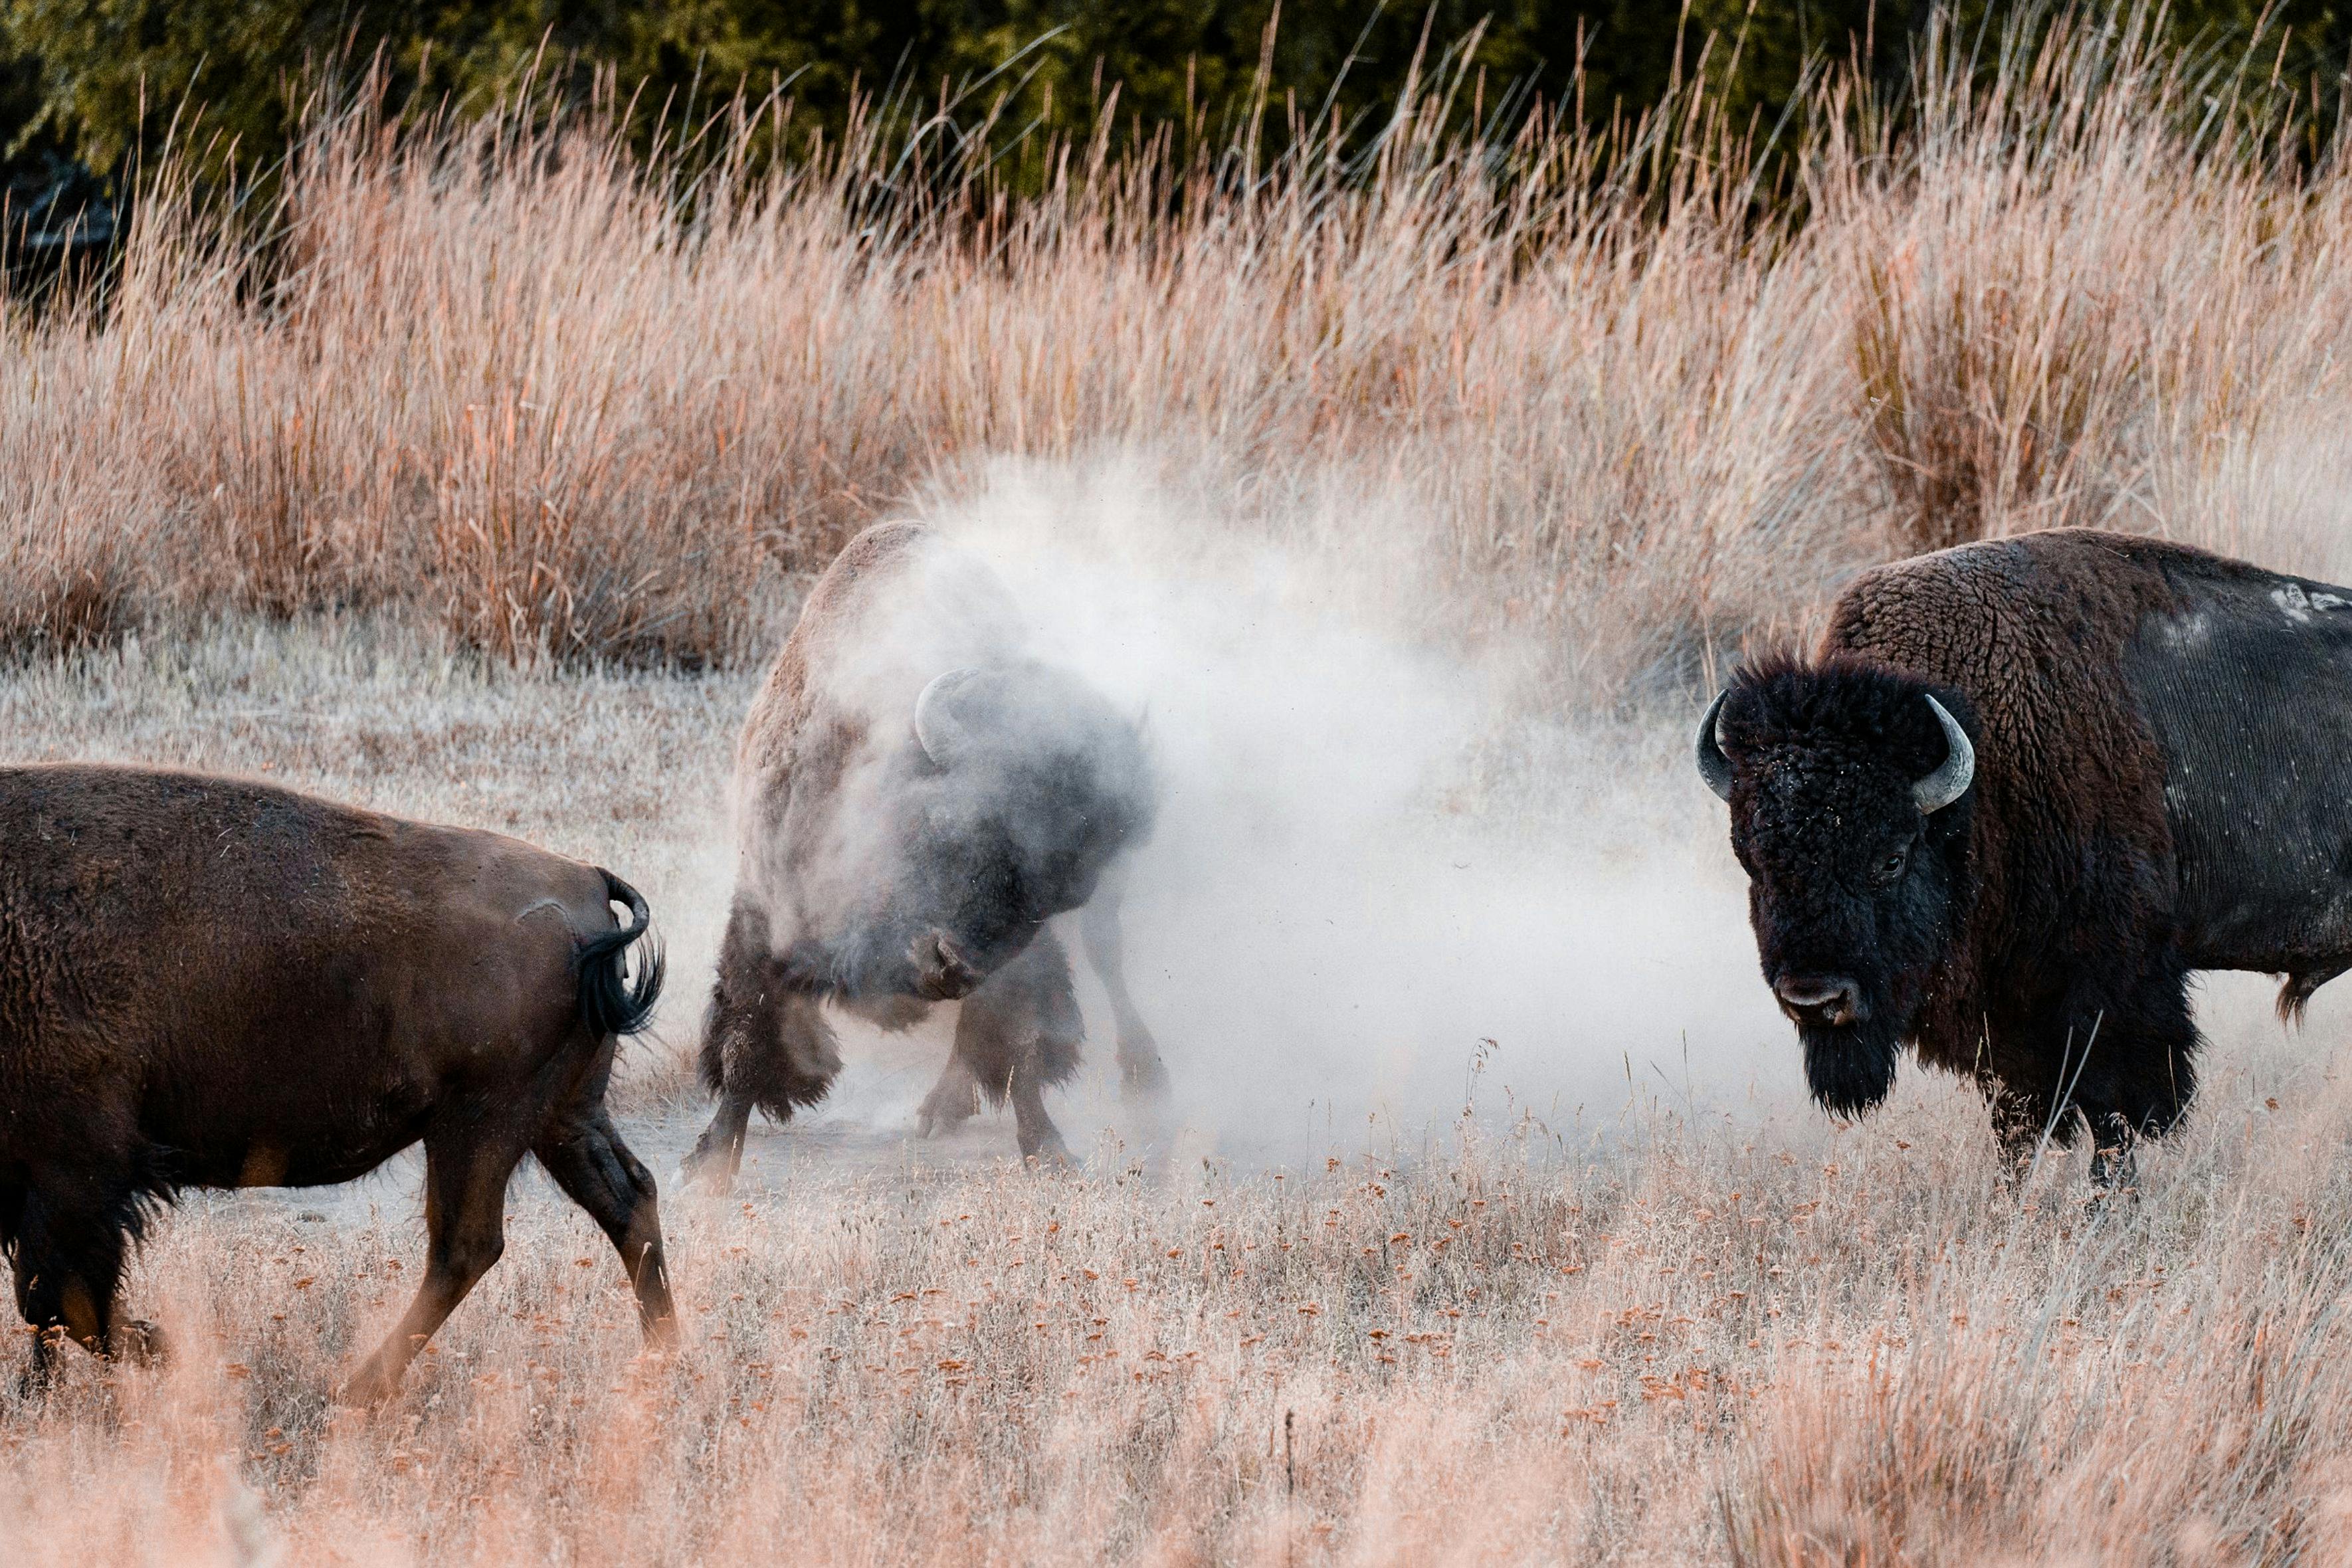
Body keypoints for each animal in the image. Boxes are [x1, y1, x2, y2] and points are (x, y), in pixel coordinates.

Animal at [0, 764, 672, 1398]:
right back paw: (663, 1354)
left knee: (467, 1245)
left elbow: (56, 1299)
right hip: (560, 1116)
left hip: (481, 1123)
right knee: (625, 1197)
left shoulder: (78, 1165)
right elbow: (46, 1301)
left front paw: (166, 1352)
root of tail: (587, 881)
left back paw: (356, 1390)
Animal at [683, 521, 1162, 1180]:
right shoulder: (764, 906)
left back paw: (1141, 1072)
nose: (952, 964)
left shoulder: (1026, 958)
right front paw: (704, 1171)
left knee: (1105, 959)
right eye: (957, 825)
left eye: (1054, 897)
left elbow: (1018, 1043)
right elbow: (748, 1037)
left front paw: (1048, 1150)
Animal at [1697, 527, 2352, 1183]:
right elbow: (2019, 1126)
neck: (1984, 764)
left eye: (1892, 858)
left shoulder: (2110, 995)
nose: (1814, 999)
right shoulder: (2008, 1023)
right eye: (1753, 862)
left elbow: (2114, 1119)